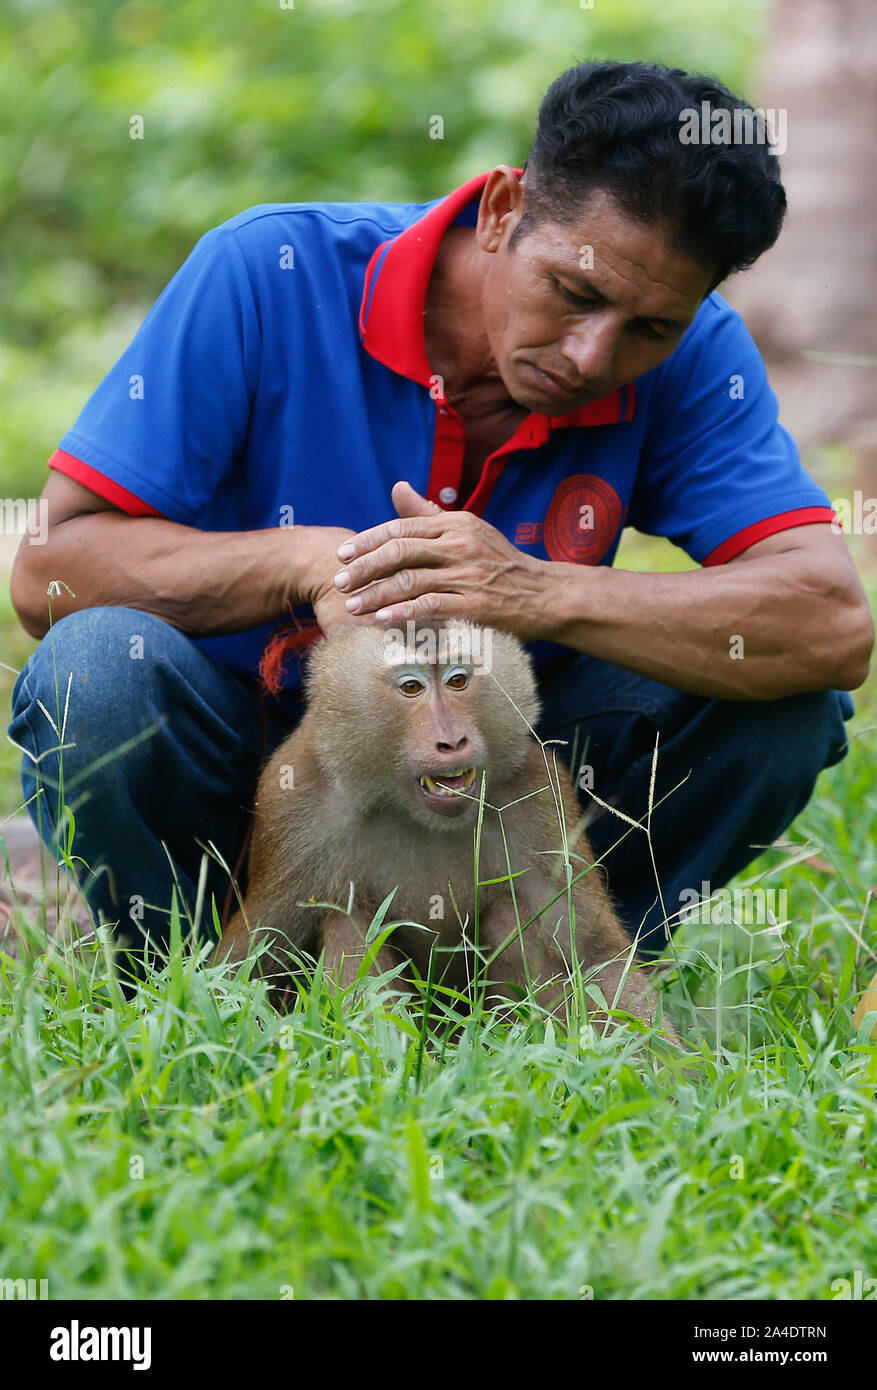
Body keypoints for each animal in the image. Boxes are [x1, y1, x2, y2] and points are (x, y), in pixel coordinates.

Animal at [212, 619, 679, 1045]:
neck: (409, 807)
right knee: (349, 922)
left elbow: (596, 956)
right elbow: (251, 962)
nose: (451, 742)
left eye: (457, 681)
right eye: (411, 687)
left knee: (509, 915)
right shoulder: (295, 802)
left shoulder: (539, 795)